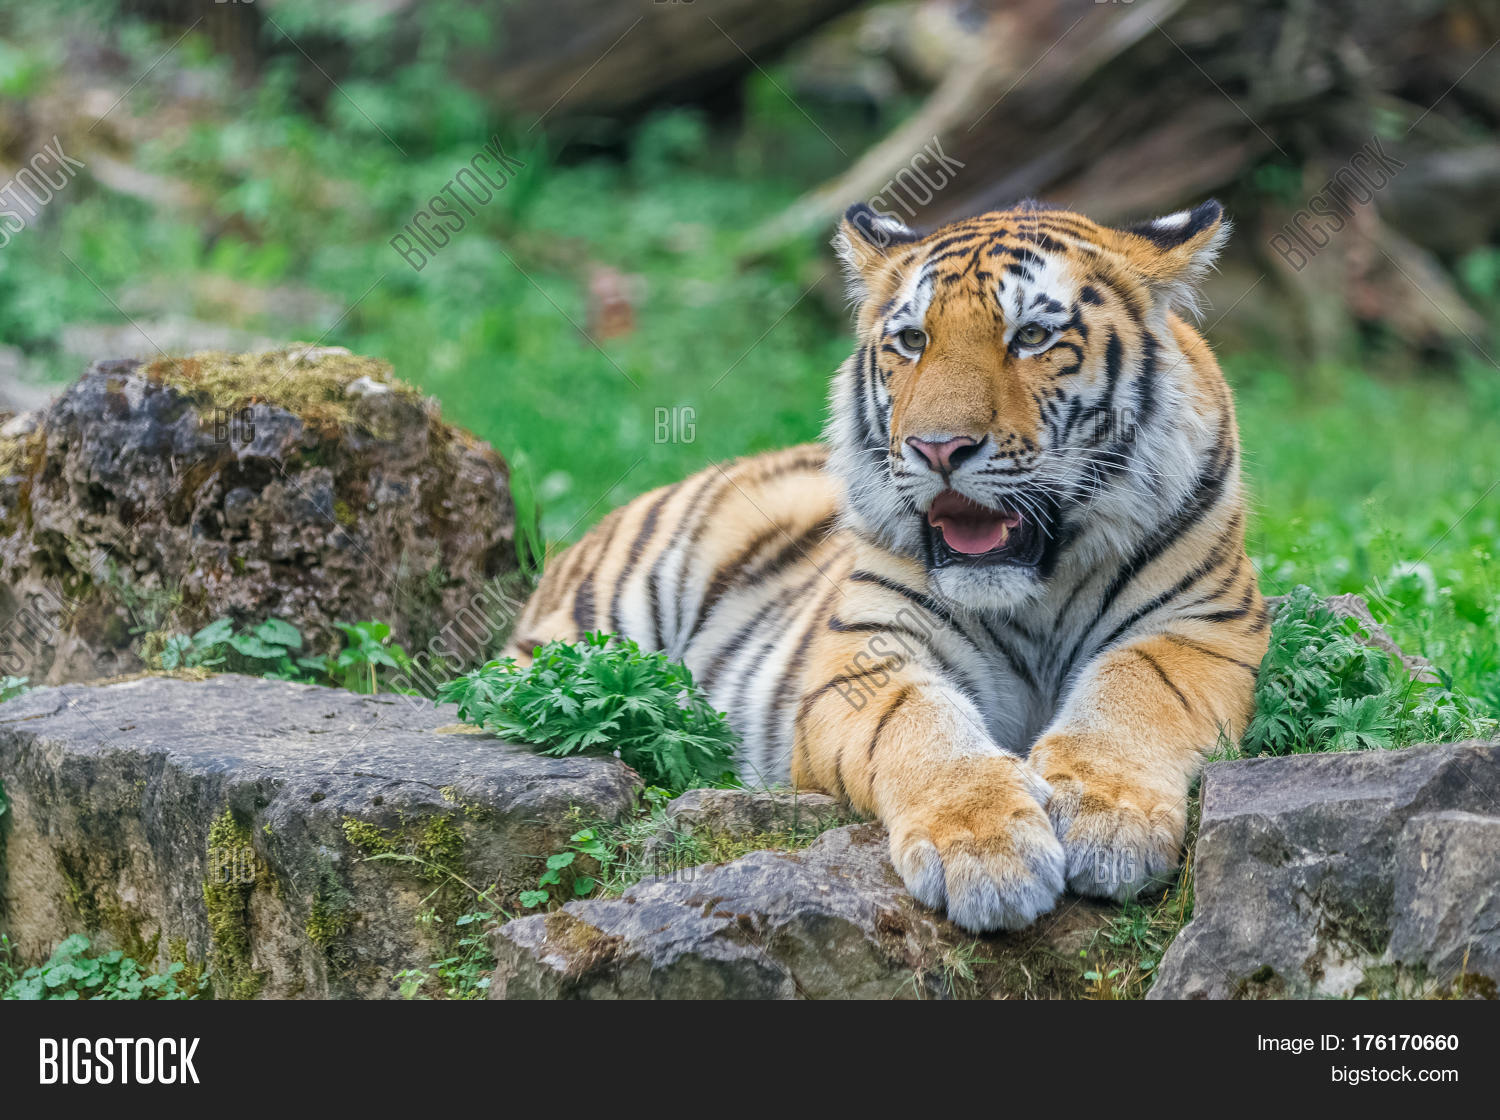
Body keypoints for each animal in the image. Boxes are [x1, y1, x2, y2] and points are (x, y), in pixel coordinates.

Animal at [506, 198, 1268, 932]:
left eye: (1030, 338)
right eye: (913, 340)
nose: (938, 449)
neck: (1036, 592)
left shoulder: (1204, 627)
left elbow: (1135, 693)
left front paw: (1111, 825)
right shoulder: (866, 655)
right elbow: (922, 727)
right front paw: (986, 853)